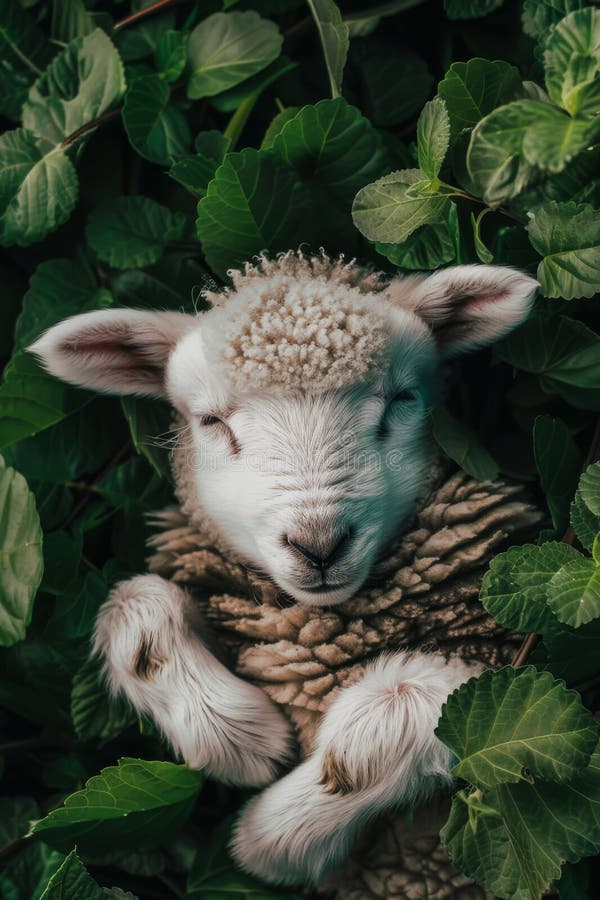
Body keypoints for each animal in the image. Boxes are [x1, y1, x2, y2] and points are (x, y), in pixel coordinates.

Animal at [30, 252, 539, 890]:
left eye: (401, 398)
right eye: (210, 421)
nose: (318, 546)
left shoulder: (515, 671)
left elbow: (406, 701)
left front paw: (270, 841)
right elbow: (135, 602)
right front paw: (242, 738)